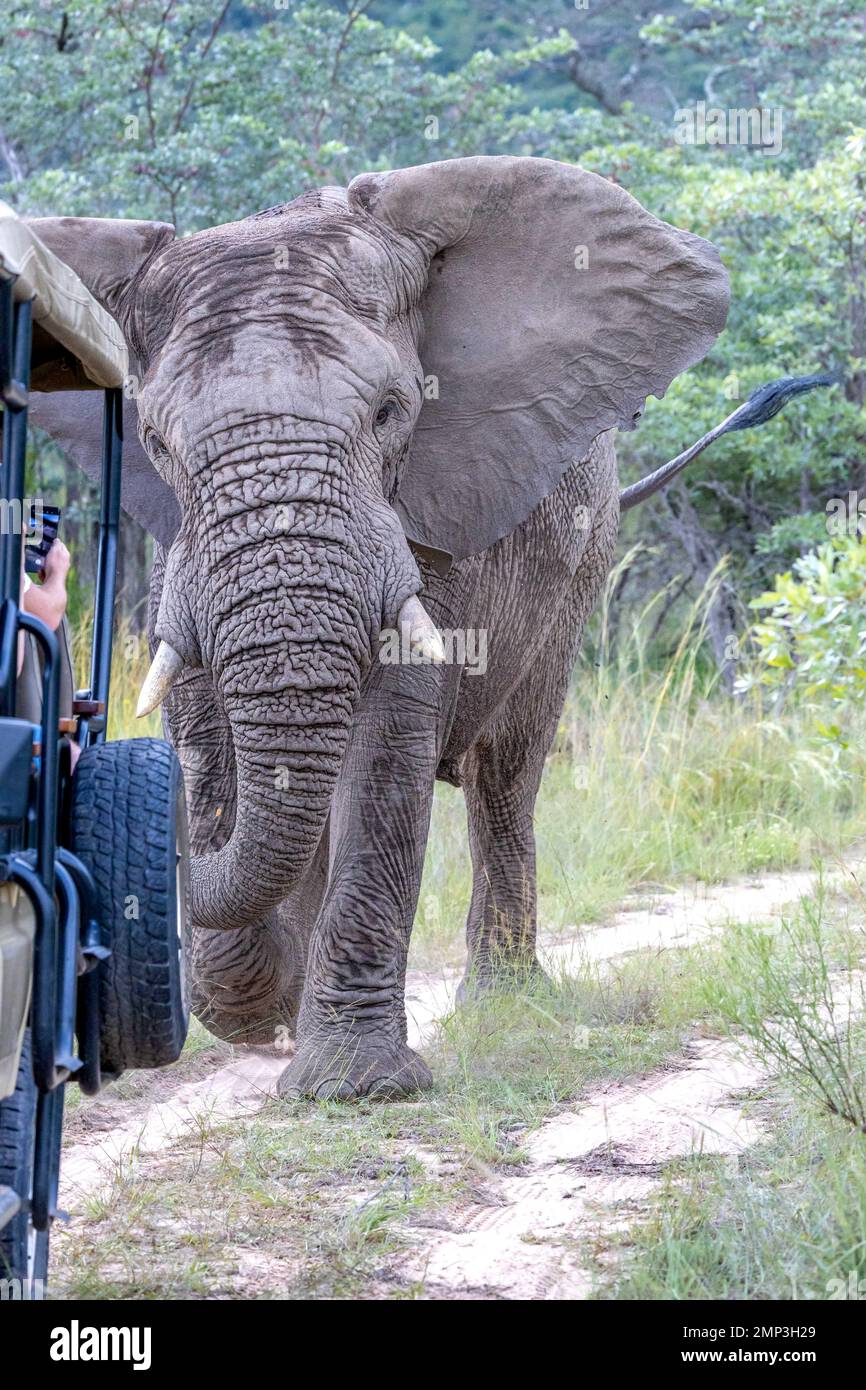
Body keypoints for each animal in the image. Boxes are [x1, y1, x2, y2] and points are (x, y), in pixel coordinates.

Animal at [27, 154, 812, 1100]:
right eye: (153, 439)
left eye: (390, 413)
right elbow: (208, 730)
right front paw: (269, 1010)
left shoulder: (429, 521)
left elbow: (384, 752)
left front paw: (351, 1086)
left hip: (577, 579)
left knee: (505, 775)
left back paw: (500, 1003)